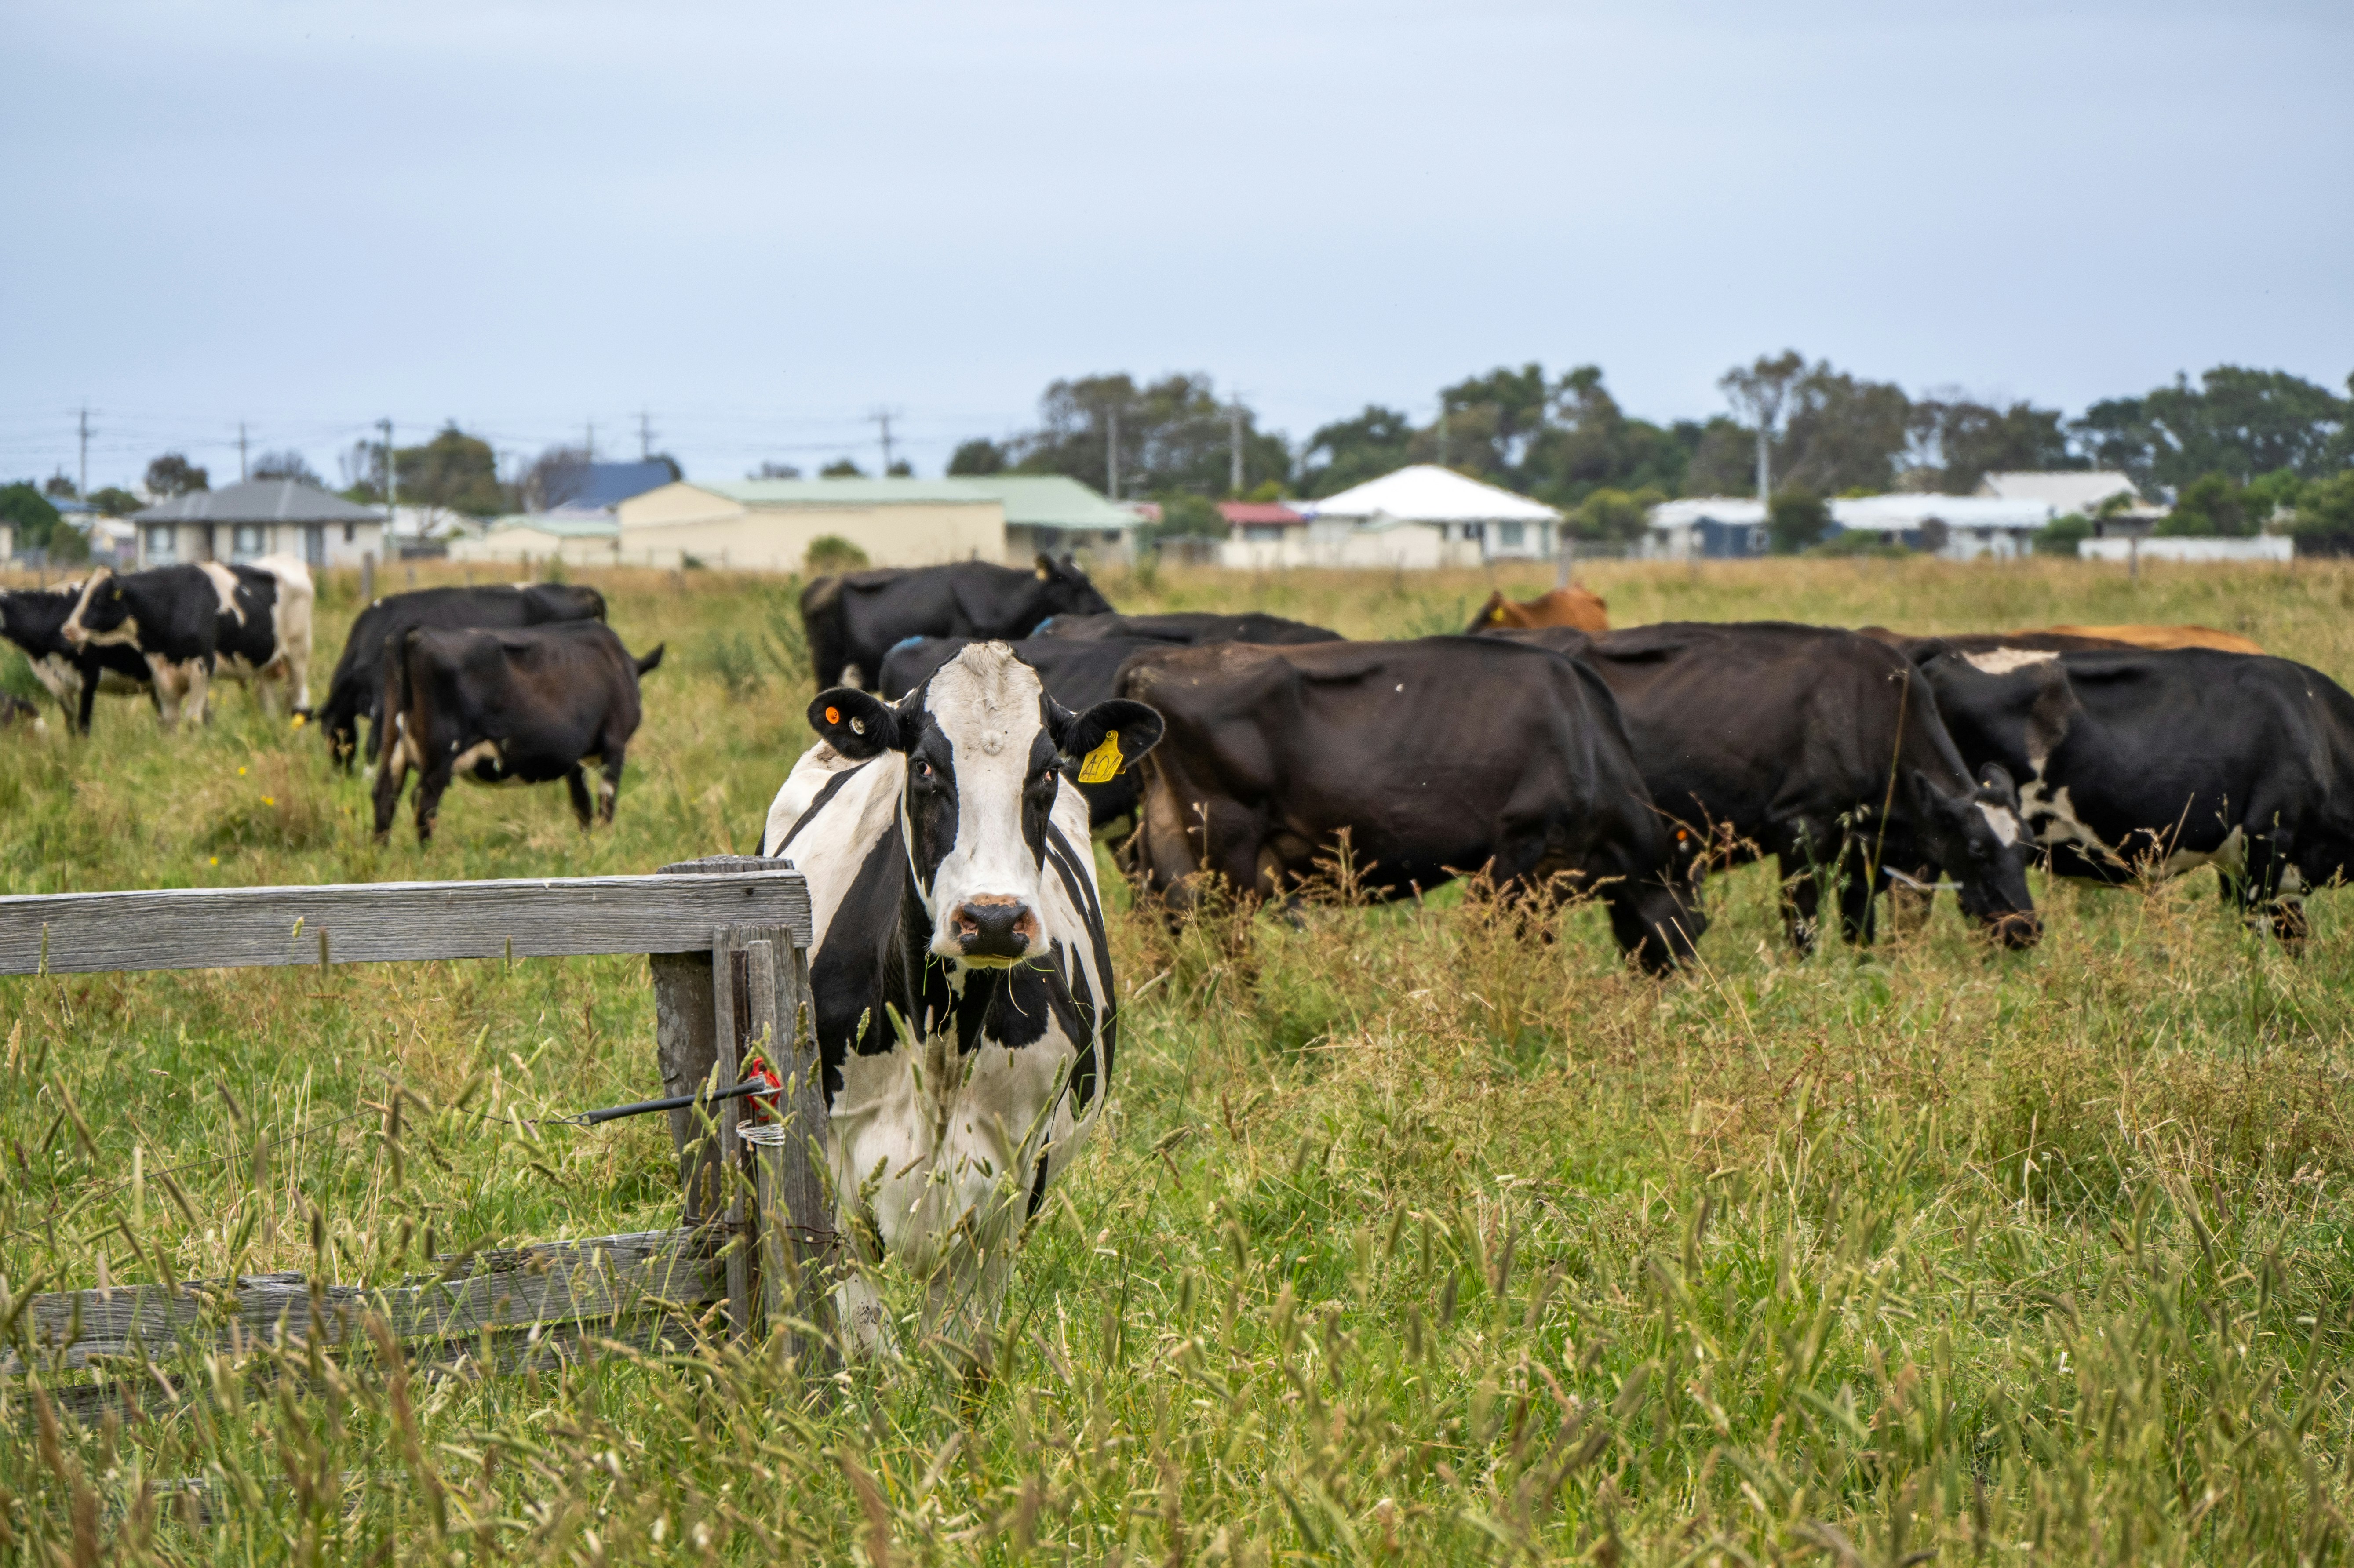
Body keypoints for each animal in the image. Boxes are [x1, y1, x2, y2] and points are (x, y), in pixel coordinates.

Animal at [61, 558, 314, 727]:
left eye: (98, 599)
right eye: (81, 596)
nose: (67, 630)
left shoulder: (202, 666)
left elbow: (193, 718)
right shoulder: (161, 670)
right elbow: (169, 719)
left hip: (298, 654)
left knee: (300, 704)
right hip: (265, 666)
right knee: (270, 705)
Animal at [371, 622, 663, 845]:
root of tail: (416, 632)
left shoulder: (575, 758)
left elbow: (583, 806)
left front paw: (587, 848)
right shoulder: (615, 742)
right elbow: (606, 801)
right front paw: (604, 846)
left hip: (394, 745)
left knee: (385, 798)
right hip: (440, 755)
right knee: (424, 805)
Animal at [753, 641, 1161, 1352]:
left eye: (1047, 771)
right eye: (923, 766)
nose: (993, 919)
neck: (942, 1037)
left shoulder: (1006, 1196)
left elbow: (959, 1352)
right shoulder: (838, 1190)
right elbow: (870, 1347)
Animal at [1120, 636, 1704, 971]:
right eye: (1697, 927)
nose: (1680, 986)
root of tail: (1152, 662)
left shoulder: (1546, 879)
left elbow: (1532, 942)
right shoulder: (1515, 845)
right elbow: (1481, 938)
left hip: (1164, 842)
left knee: (1157, 926)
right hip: (1226, 842)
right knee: (1226, 937)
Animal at [1508, 623, 2041, 950]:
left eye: (2028, 849)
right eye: (1976, 850)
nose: (2027, 928)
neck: (1870, 711)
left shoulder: (1862, 847)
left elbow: (1859, 929)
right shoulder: (1801, 828)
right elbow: (1803, 927)